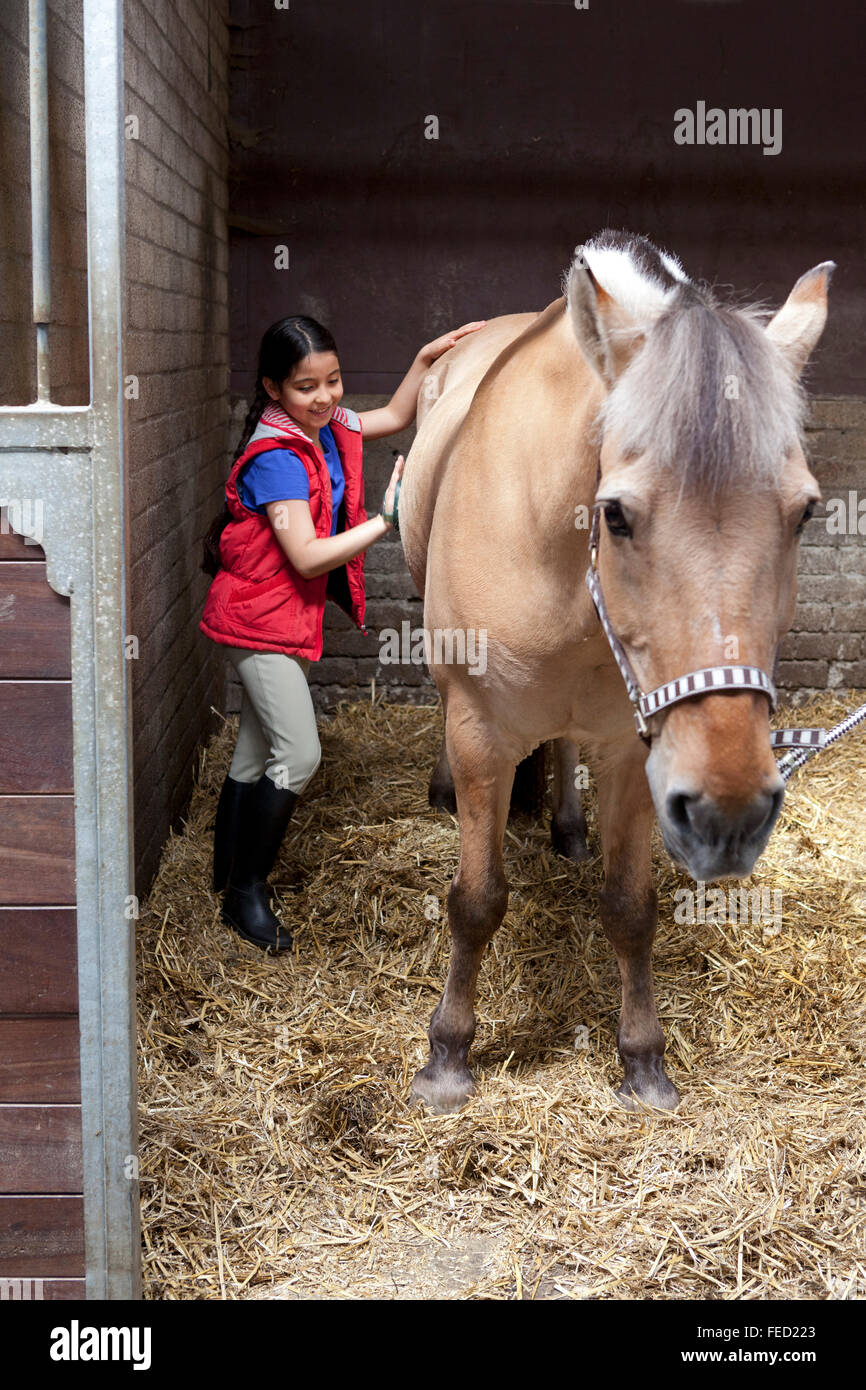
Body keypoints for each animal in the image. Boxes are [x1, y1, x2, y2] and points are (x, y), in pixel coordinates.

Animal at [399, 229, 833, 1115]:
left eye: (804, 510)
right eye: (618, 514)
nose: (731, 810)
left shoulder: (637, 748)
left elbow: (630, 907)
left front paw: (643, 1061)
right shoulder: (480, 730)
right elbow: (476, 900)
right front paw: (447, 1056)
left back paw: (569, 828)